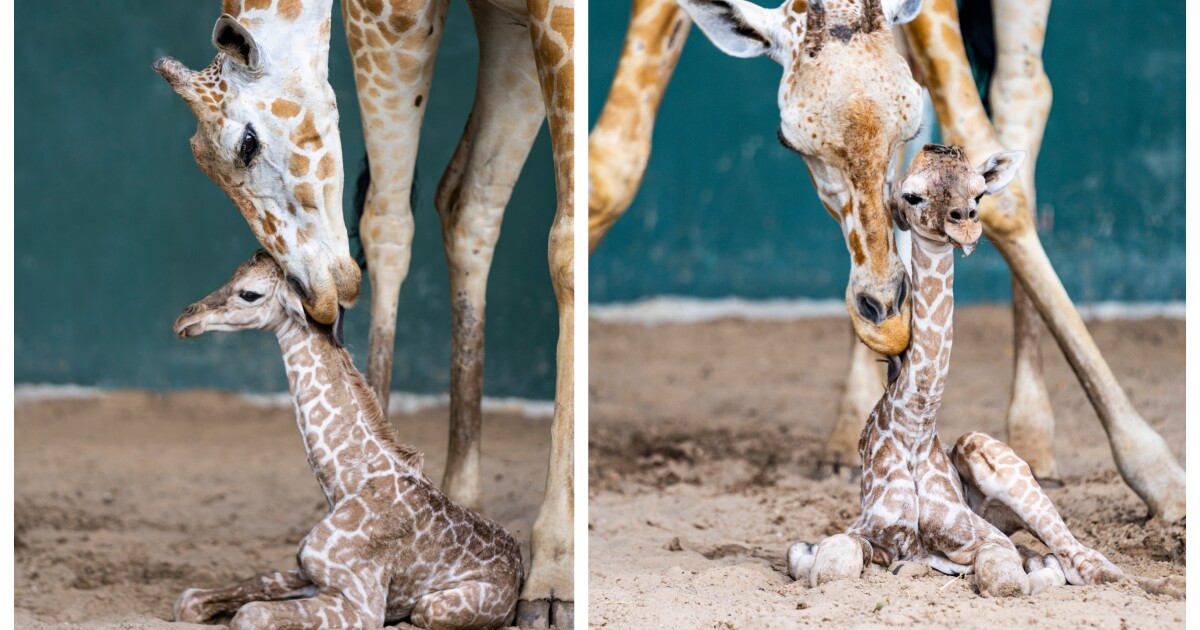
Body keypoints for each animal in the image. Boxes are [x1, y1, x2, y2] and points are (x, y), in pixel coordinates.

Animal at [171, 251, 524, 629]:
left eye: (249, 293)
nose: (185, 318)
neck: (346, 485)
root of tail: (520, 570)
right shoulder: (306, 573)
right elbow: (197, 598)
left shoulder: (362, 603)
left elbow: (250, 614)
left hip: (437, 607)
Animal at [588, 0, 1185, 520]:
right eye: (789, 141)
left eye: (912, 124)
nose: (886, 314)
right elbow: (610, 171)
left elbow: (994, 179)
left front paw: (1161, 477)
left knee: (1024, 96)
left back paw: (1034, 438)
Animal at [785, 144, 1183, 599]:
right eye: (912, 196)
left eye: (978, 193)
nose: (965, 222)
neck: (912, 425)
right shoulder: (865, 530)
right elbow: (823, 563)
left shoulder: (984, 536)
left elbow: (1007, 579)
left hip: (991, 457)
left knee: (1087, 561)